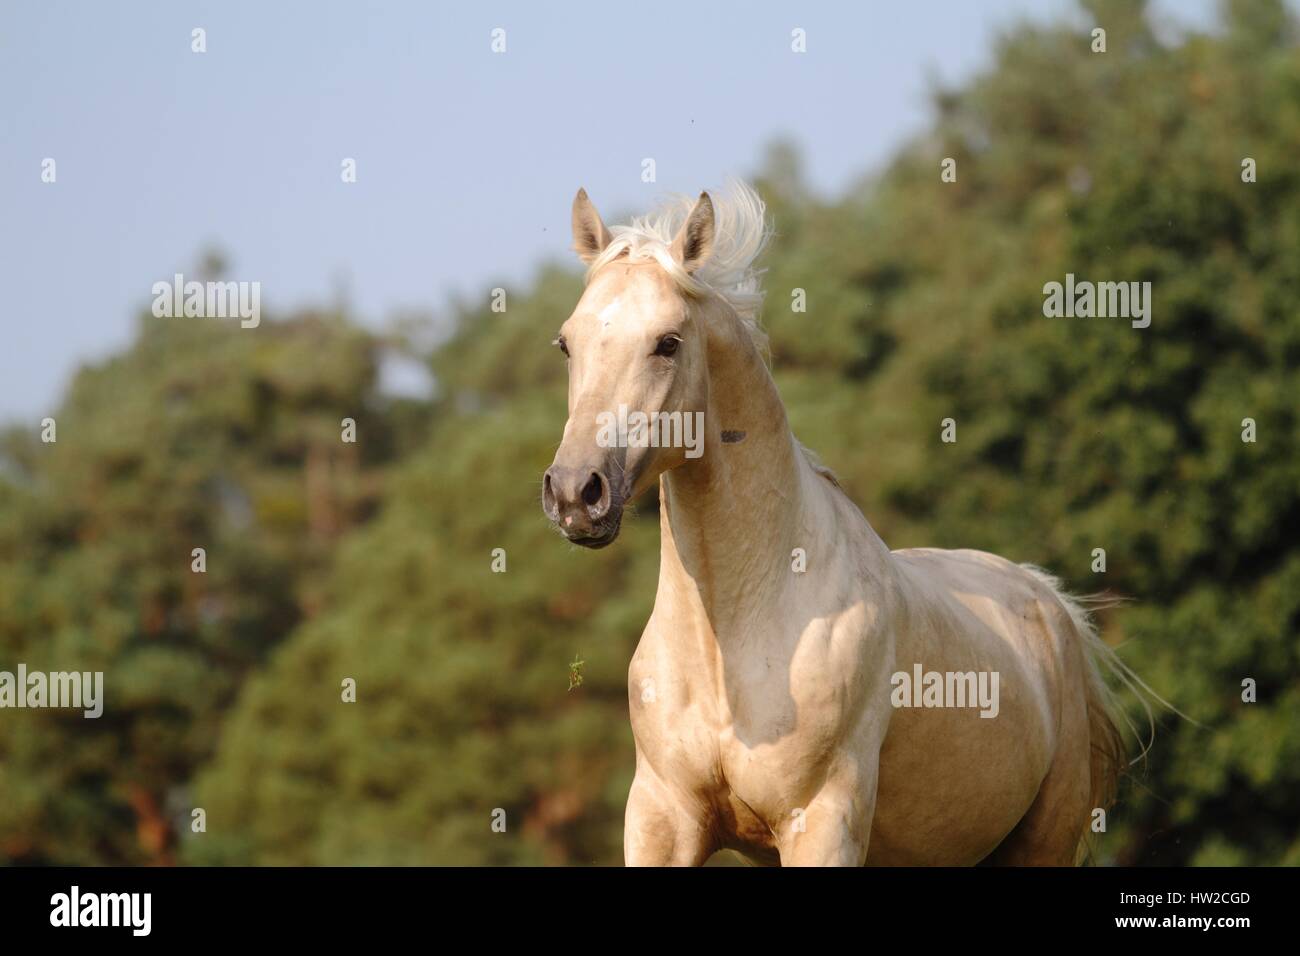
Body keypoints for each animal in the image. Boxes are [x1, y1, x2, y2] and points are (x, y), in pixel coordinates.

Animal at [542, 181, 1136, 865]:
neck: (738, 634)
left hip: (1042, 842)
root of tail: (1050, 602)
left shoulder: (822, 820)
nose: (575, 493)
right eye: (567, 343)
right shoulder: (661, 819)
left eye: (669, 342)